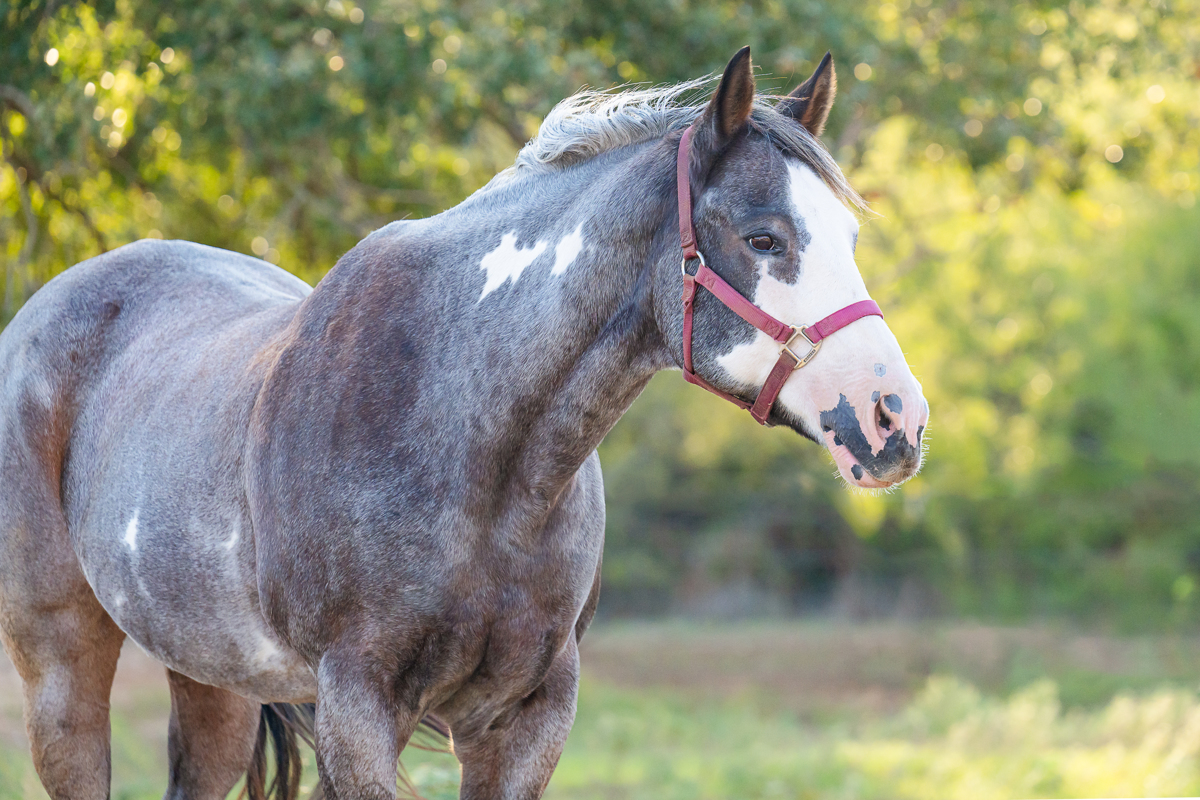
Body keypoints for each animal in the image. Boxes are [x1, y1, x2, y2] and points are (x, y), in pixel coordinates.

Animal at [0, 47, 927, 800]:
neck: (471, 445)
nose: (898, 418)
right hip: (62, 668)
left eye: (847, 237)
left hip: (213, 678)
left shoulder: (528, 718)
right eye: (765, 238)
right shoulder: (357, 708)